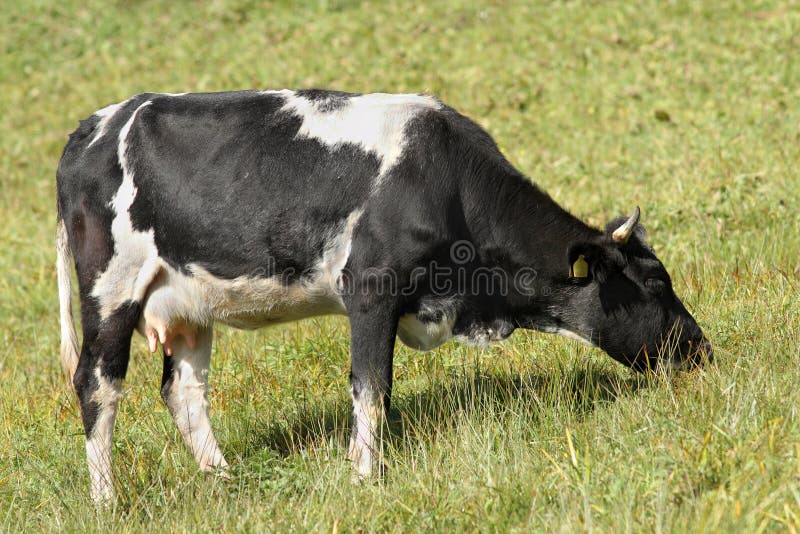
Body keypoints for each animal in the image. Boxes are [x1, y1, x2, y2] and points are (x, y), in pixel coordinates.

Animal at [55, 89, 712, 501]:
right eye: (656, 281)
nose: (701, 349)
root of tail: (94, 126)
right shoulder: (371, 289)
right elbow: (372, 388)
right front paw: (366, 475)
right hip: (110, 288)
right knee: (97, 384)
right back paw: (108, 500)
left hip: (187, 303)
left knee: (184, 390)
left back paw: (224, 479)